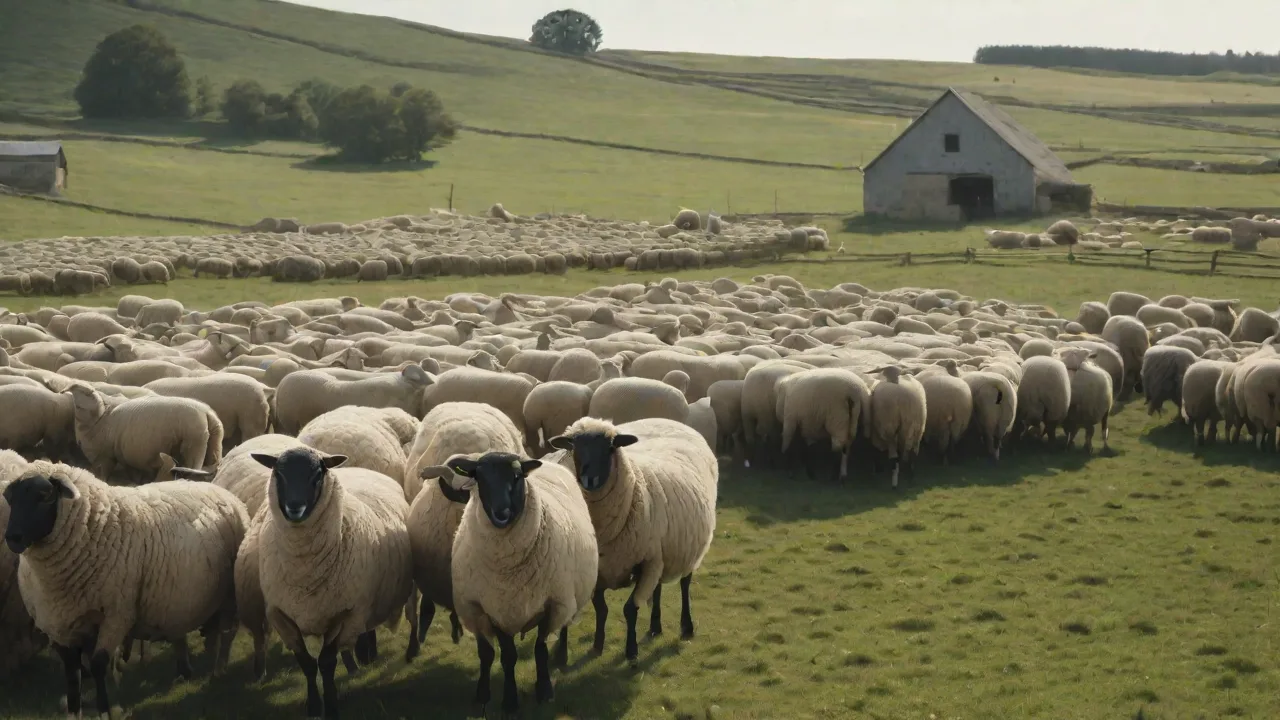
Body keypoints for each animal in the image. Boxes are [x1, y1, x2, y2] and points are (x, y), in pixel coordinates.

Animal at [3, 460, 247, 718]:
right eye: (10, 498)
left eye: (45, 495)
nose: (13, 538)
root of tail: (214, 487)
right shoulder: (58, 625)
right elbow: (72, 674)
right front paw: (73, 712)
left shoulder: (116, 616)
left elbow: (98, 665)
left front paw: (104, 711)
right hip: (176, 599)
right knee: (183, 632)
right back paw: (185, 670)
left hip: (229, 595)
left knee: (226, 632)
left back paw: (218, 669)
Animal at [249, 448, 413, 719]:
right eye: (278, 473)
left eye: (318, 474)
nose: (295, 507)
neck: (303, 570)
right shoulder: (280, 615)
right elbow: (306, 663)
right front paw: (314, 705)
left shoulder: (343, 613)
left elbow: (326, 662)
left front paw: (332, 705)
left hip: (366, 599)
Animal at [441, 452, 598, 717]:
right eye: (479, 477)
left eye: (517, 476)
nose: (501, 513)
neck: (507, 570)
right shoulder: (491, 609)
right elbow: (503, 657)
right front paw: (504, 699)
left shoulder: (550, 605)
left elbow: (540, 650)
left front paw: (544, 691)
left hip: (567, 594)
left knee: (564, 626)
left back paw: (561, 655)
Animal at [550, 416, 717, 662]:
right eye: (574, 447)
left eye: (611, 447)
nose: (589, 479)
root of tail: (670, 420)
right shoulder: (603, 569)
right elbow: (601, 609)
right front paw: (597, 645)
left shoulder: (647, 561)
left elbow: (630, 608)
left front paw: (631, 652)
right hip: (662, 552)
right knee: (656, 588)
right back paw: (655, 627)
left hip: (688, 546)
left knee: (685, 583)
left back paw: (687, 627)